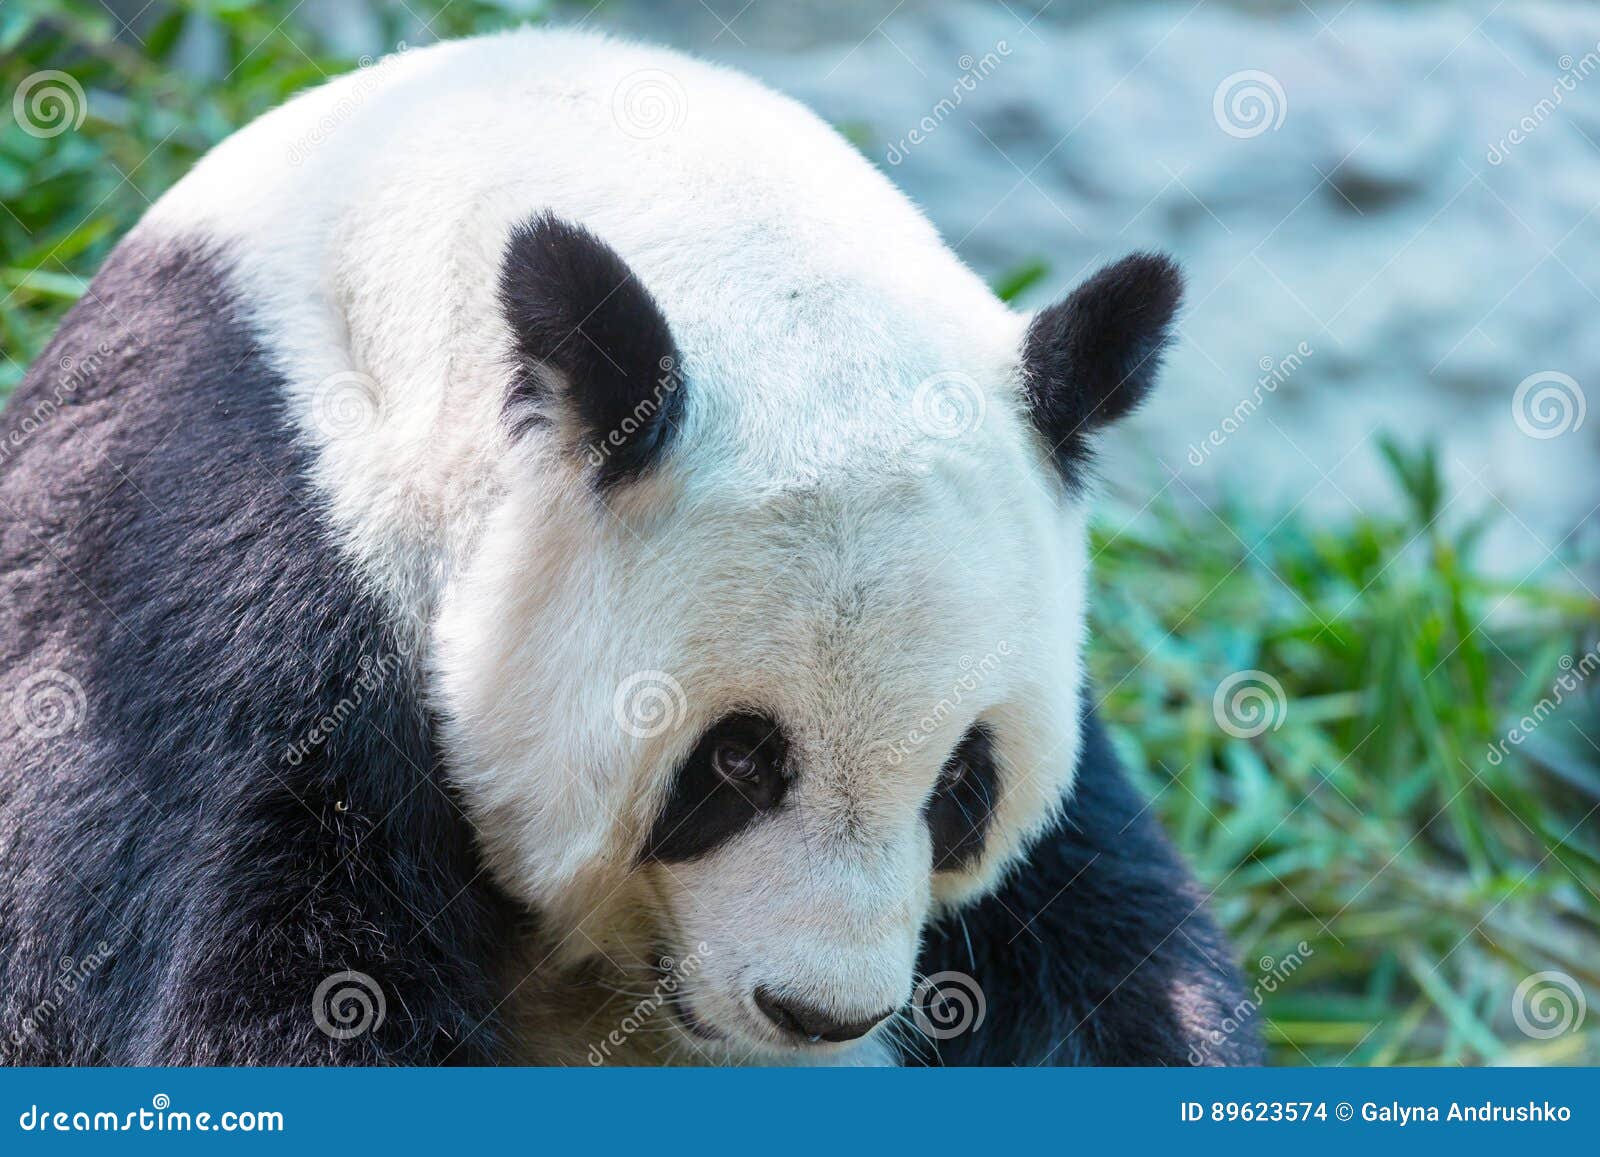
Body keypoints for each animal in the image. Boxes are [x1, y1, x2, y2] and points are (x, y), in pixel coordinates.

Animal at [0, 28, 1260, 1067]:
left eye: (963, 781)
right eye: (738, 759)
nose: (820, 1010)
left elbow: (1122, 964)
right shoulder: (229, 606)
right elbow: (271, 990)